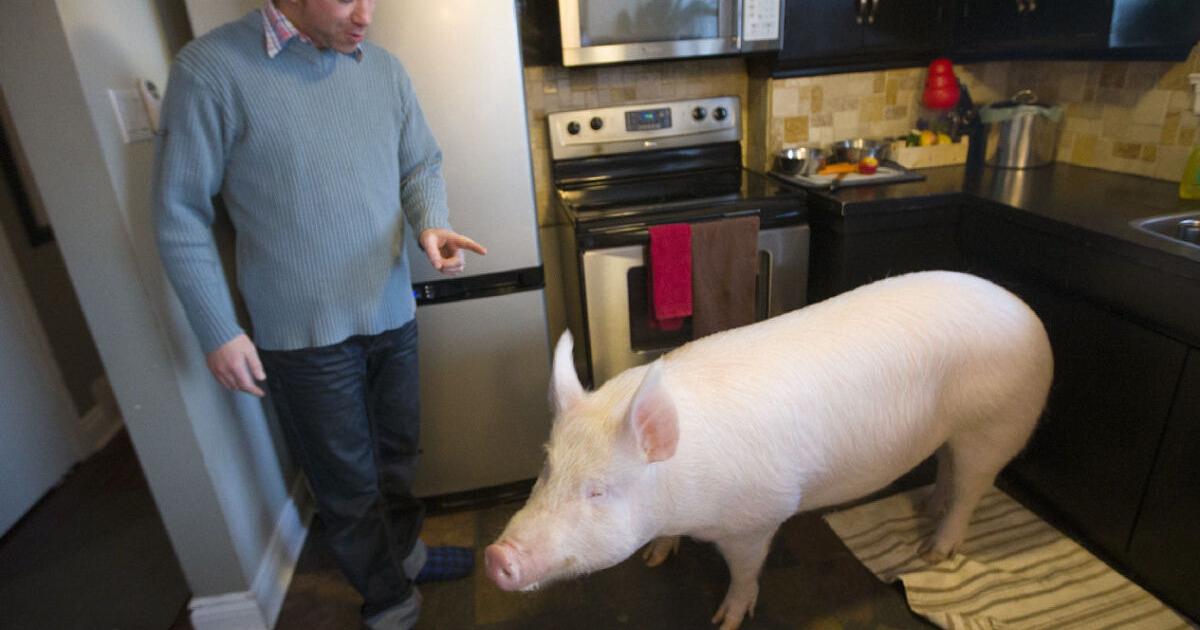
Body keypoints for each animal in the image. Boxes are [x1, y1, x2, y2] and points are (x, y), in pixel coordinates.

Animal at [485, 270, 1053, 630]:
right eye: (546, 469)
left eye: (598, 491)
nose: (496, 555)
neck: (682, 493)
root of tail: (1030, 315)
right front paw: (654, 558)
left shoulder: (756, 517)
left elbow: (745, 570)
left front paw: (725, 621)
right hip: (954, 431)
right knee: (948, 467)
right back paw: (929, 509)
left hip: (996, 423)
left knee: (974, 487)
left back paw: (934, 551)